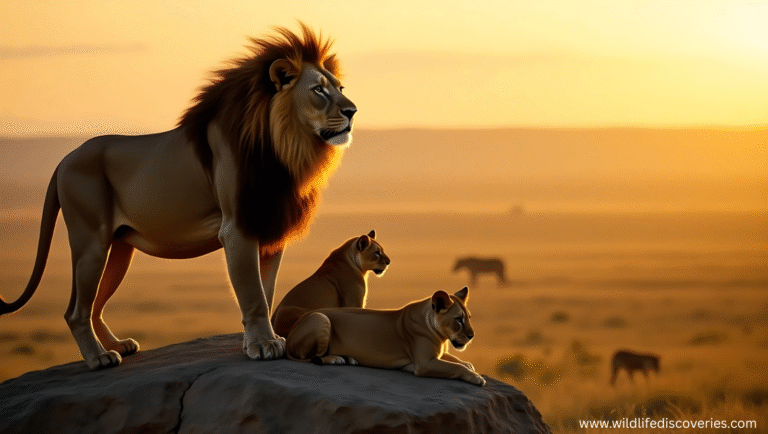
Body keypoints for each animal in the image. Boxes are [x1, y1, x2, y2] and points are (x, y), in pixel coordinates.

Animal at [0, 23, 356, 370]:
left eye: (340, 87)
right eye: (319, 90)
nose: (352, 110)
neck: (284, 150)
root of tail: (65, 159)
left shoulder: (269, 226)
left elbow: (266, 292)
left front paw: (259, 341)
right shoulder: (238, 228)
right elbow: (253, 294)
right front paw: (263, 346)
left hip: (118, 249)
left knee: (94, 305)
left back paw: (118, 345)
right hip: (91, 242)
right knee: (75, 311)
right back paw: (99, 358)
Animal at [285, 286, 486, 386]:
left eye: (468, 318)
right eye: (458, 319)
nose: (472, 336)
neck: (441, 336)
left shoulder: (435, 354)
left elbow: (456, 360)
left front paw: (468, 365)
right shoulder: (423, 363)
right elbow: (455, 367)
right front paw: (477, 378)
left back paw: (349, 359)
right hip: (321, 318)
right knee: (312, 357)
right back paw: (337, 359)